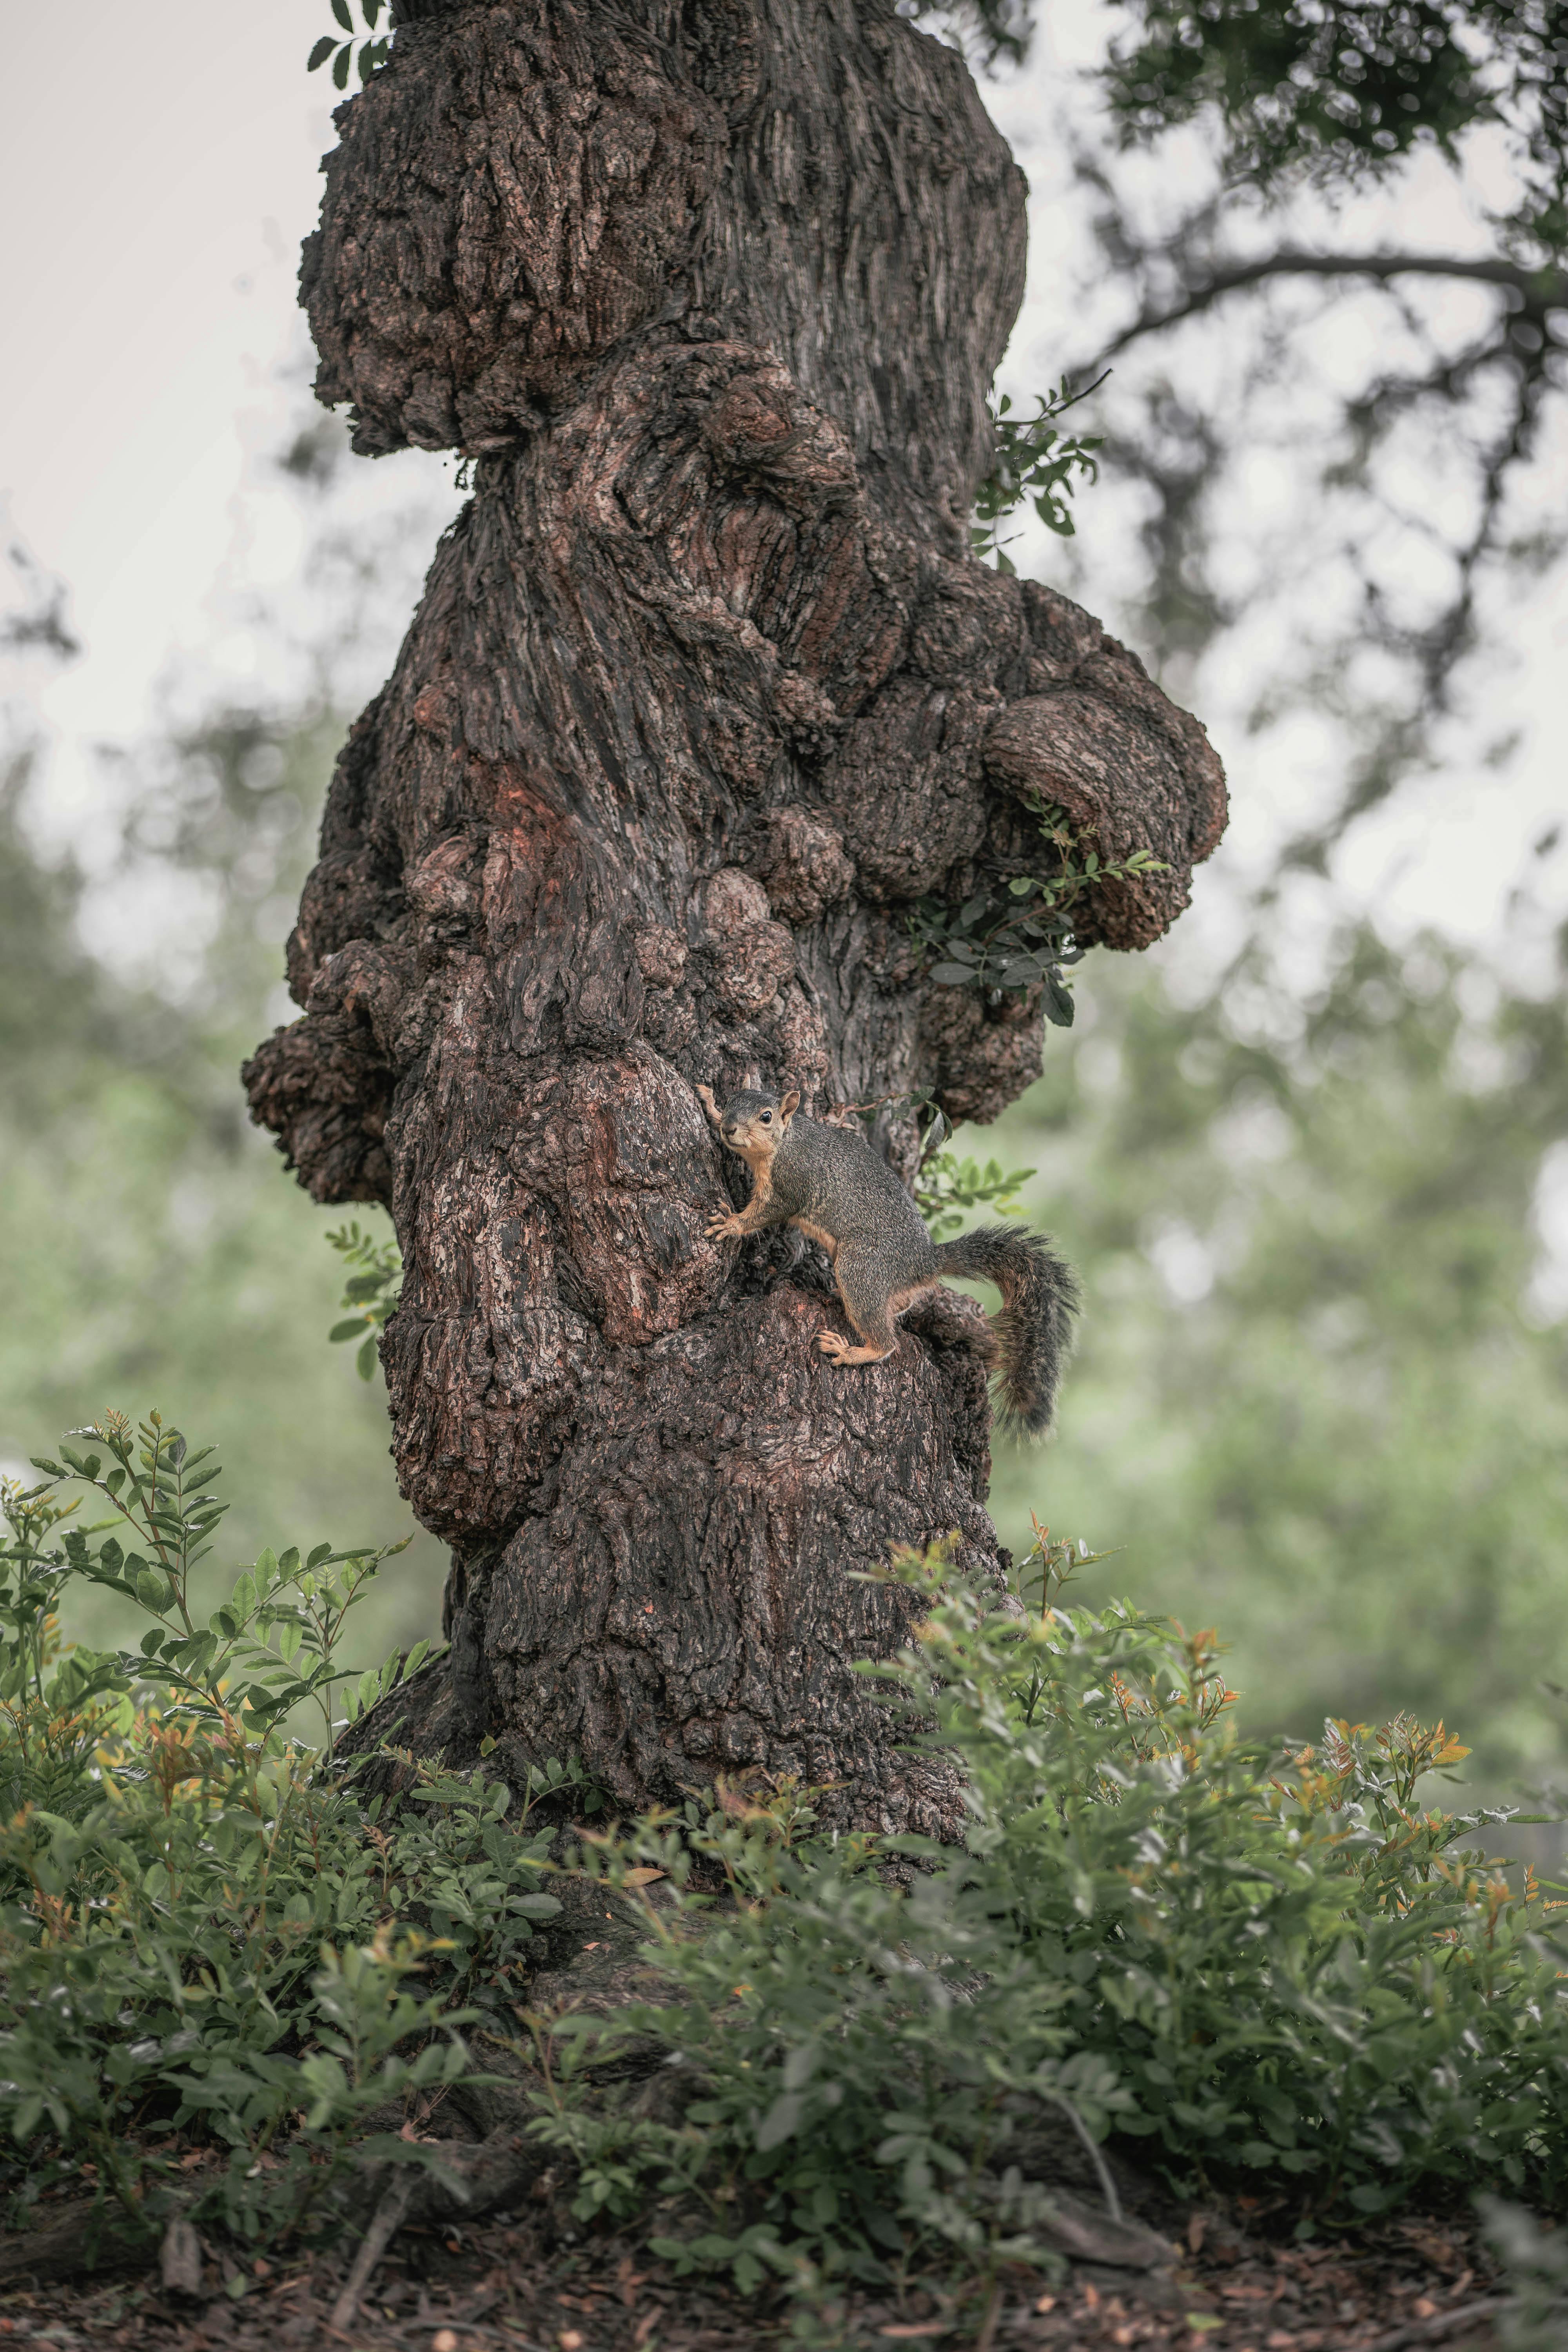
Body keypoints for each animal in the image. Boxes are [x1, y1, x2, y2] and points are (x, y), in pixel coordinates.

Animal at [696, 1084, 1078, 1436]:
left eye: (766, 1117)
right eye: (733, 1100)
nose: (730, 1128)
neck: (784, 1142)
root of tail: (926, 1262)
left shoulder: (792, 1182)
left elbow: (770, 1212)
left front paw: (732, 1224)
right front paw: (711, 1106)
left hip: (860, 1264)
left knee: (887, 1342)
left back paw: (853, 1351)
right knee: (902, 1302)